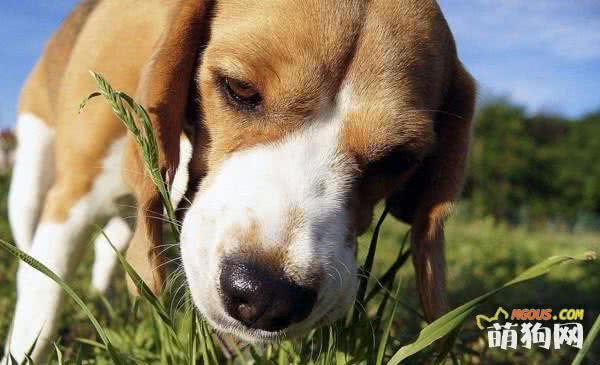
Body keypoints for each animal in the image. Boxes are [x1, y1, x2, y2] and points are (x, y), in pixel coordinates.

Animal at [3, 0, 474, 360]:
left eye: (398, 159)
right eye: (240, 89)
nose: (267, 296)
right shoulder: (72, 199)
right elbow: (42, 299)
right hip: (31, 175)